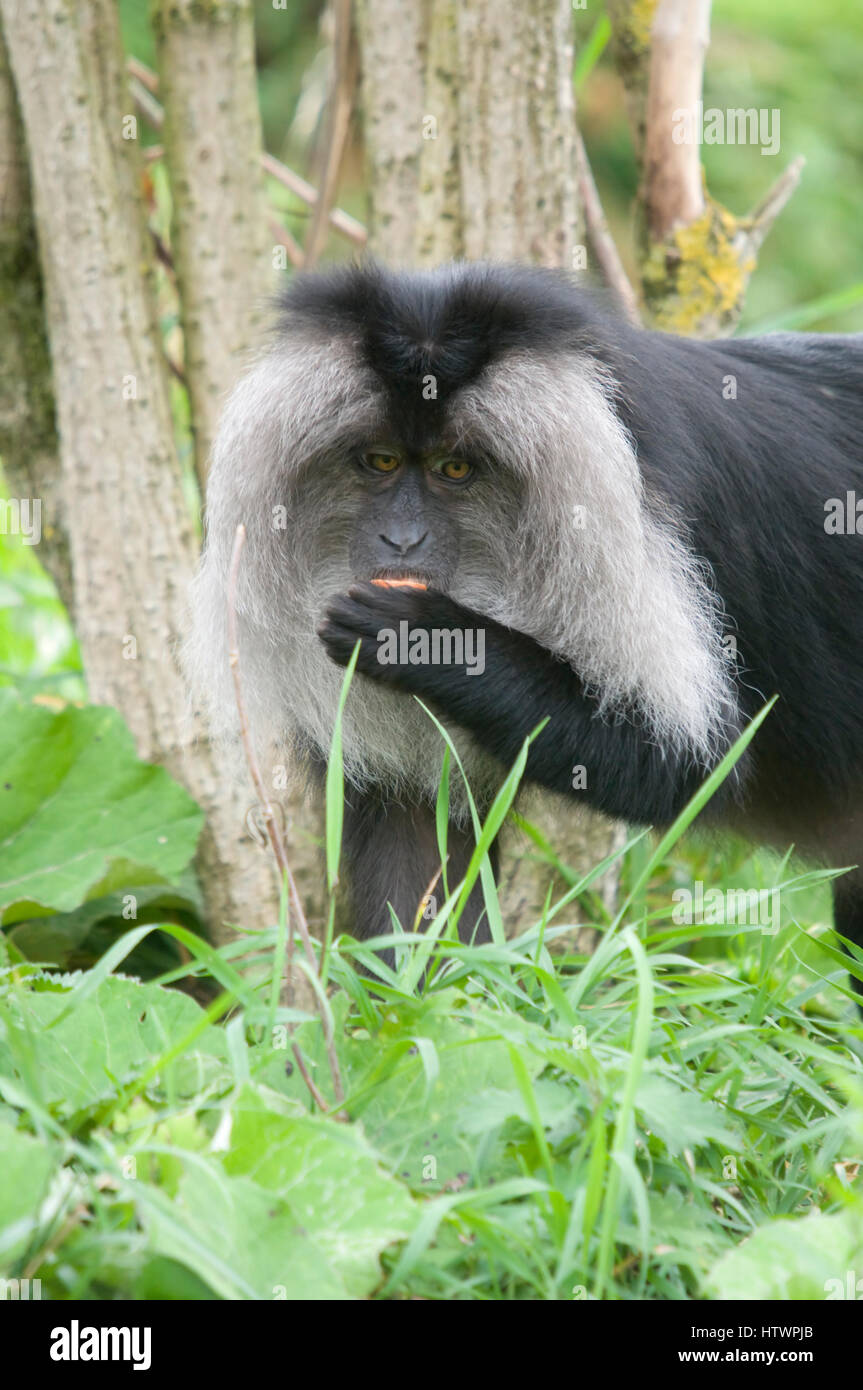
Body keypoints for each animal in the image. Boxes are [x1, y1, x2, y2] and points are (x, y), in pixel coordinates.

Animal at [185, 260, 863, 997]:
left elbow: (687, 769)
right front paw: (419, 1010)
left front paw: (433, 641)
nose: (402, 540)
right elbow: (416, 847)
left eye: (455, 469)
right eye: (380, 461)